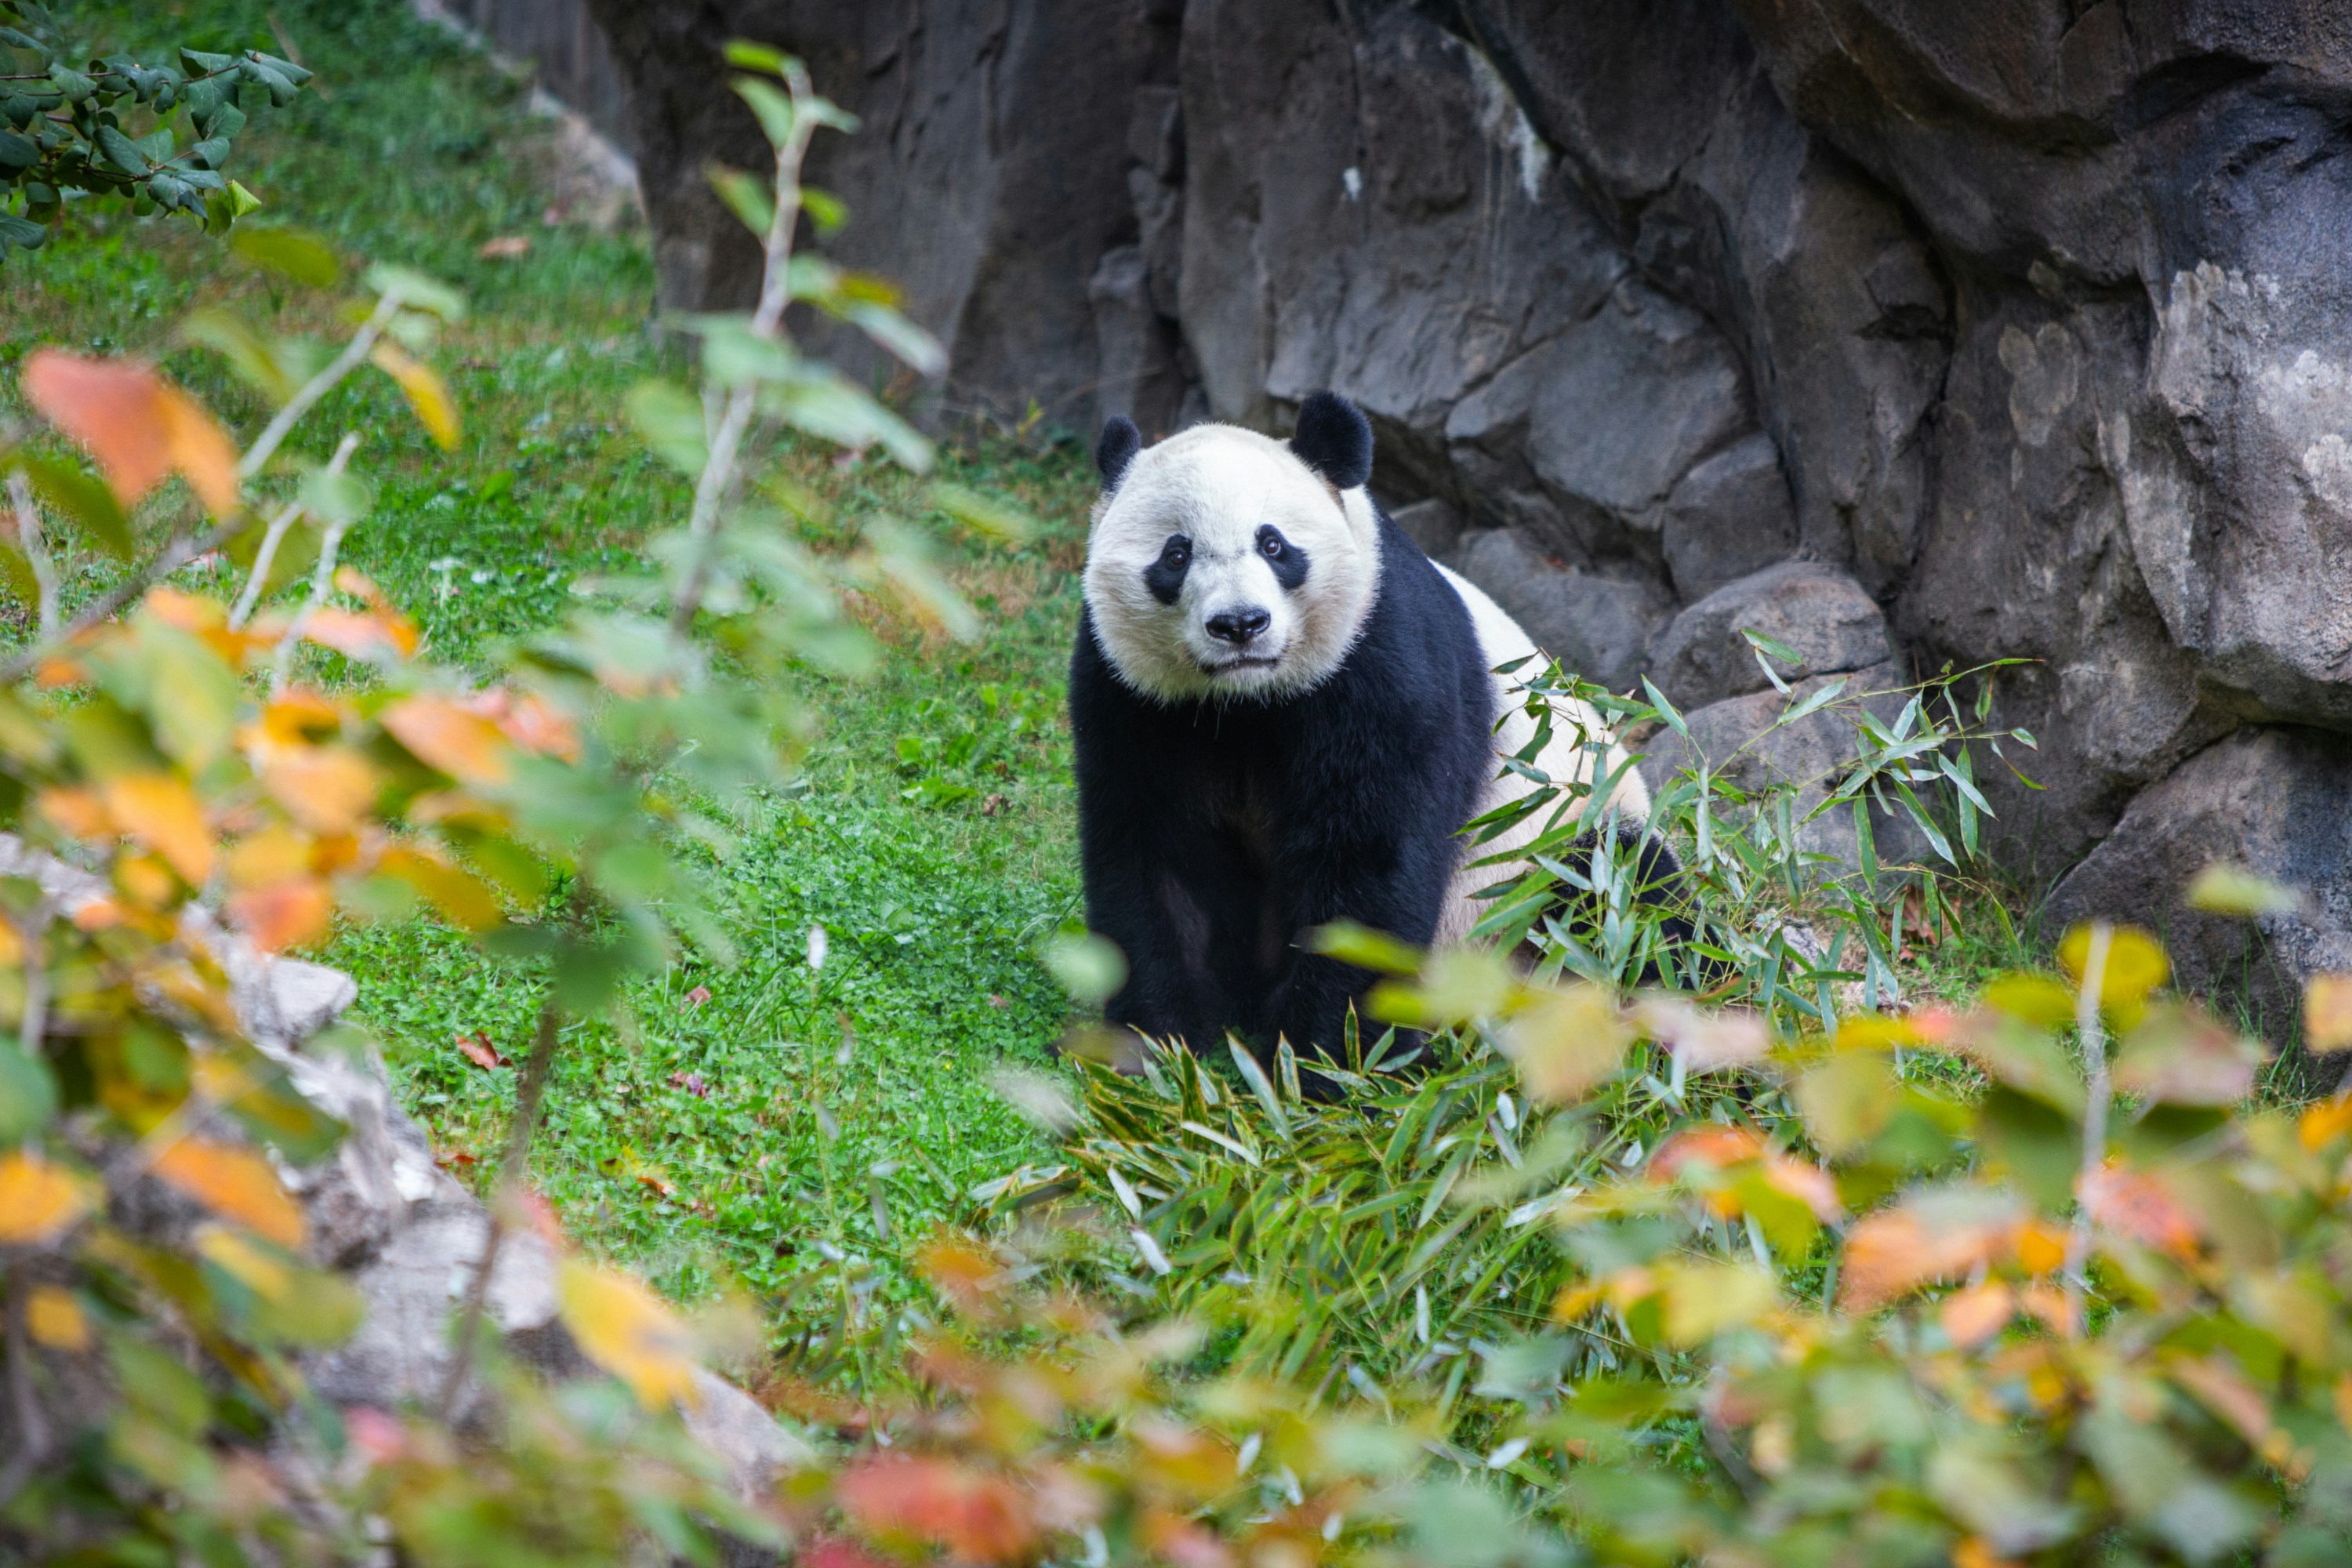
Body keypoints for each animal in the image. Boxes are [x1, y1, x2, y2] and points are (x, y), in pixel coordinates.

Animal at [1069, 390, 1666, 1064]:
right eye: (1176, 554)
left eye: (1273, 545)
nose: (1240, 624)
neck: (1247, 701)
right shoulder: (1137, 698)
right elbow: (1159, 854)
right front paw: (1156, 1047)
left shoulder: (1380, 661)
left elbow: (1367, 864)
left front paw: (1327, 1060)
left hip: (1553, 848)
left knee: (1629, 899)